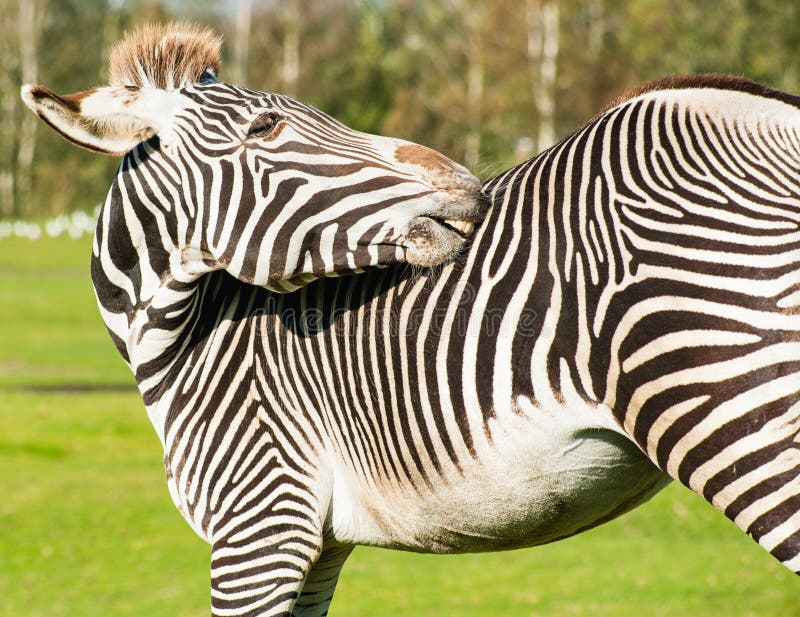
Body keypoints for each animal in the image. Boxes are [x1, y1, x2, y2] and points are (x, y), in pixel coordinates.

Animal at [24, 23, 800, 617]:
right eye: (266, 126)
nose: (468, 187)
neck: (187, 334)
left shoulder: (260, 519)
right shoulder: (311, 543)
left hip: (743, 417)